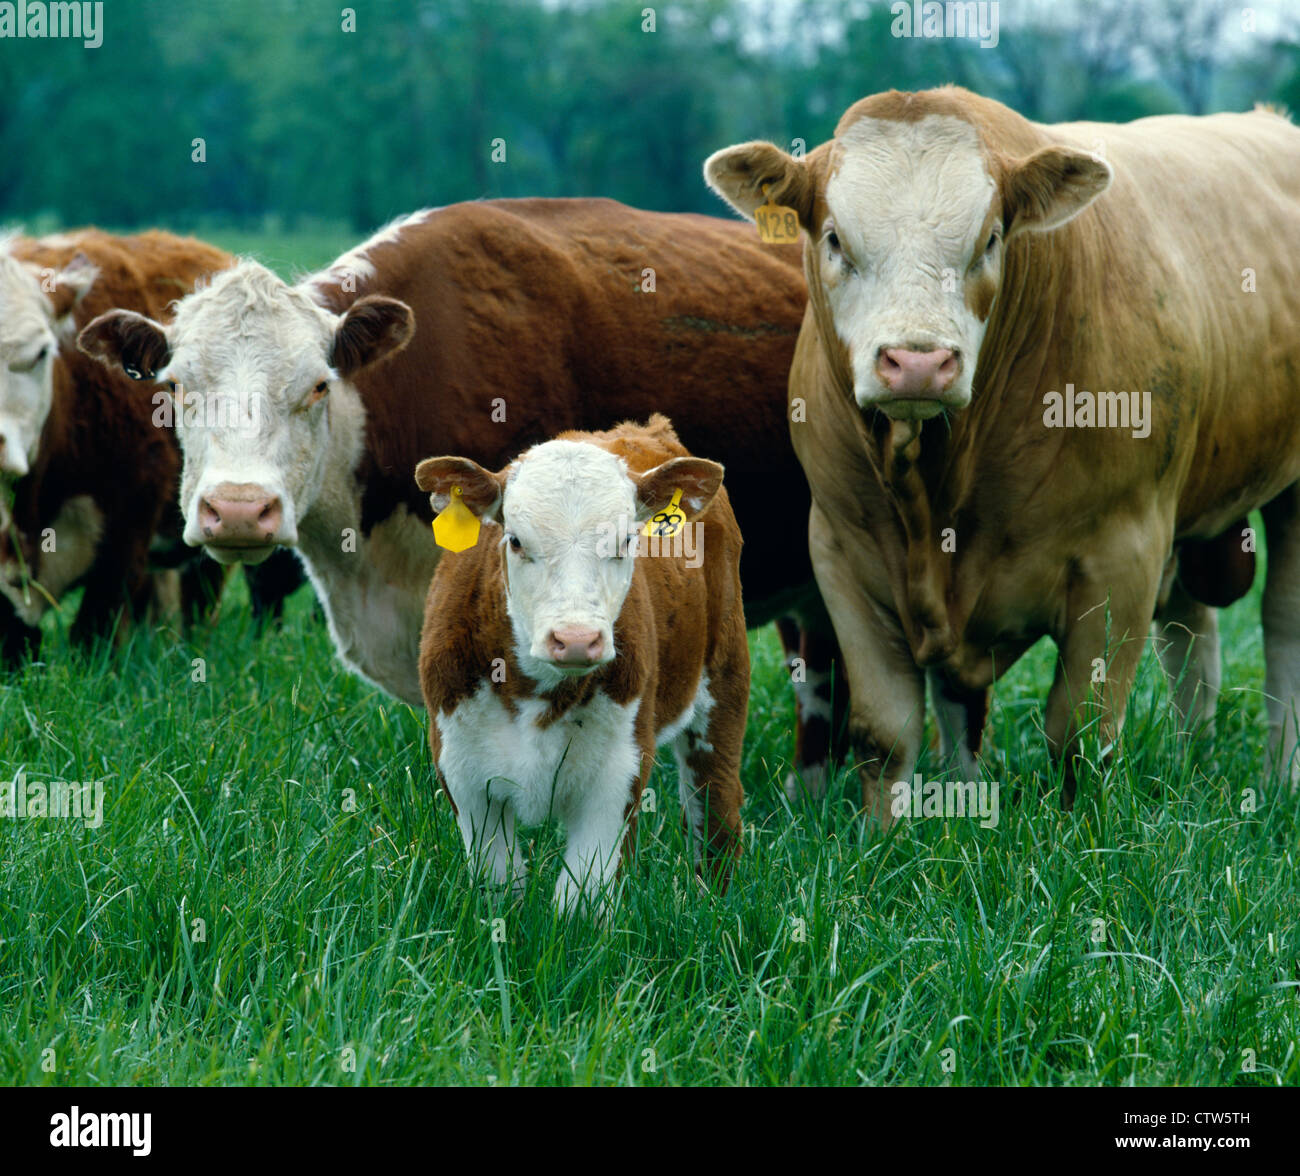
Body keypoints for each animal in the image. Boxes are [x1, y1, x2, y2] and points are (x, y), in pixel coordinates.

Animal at [416, 415, 746, 914]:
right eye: (515, 540)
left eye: (626, 540)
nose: (575, 640)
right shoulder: (463, 767)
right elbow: (498, 885)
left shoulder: (619, 773)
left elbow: (582, 897)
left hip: (725, 676)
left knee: (716, 802)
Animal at [703, 86, 1297, 820]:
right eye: (835, 238)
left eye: (990, 239)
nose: (918, 363)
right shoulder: (842, 553)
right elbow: (885, 732)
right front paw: (884, 836)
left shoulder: (1123, 554)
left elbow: (1081, 732)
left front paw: (1087, 835)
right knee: (1192, 640)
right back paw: (1196, 758)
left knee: (1283, 625)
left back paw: (1280, 776)